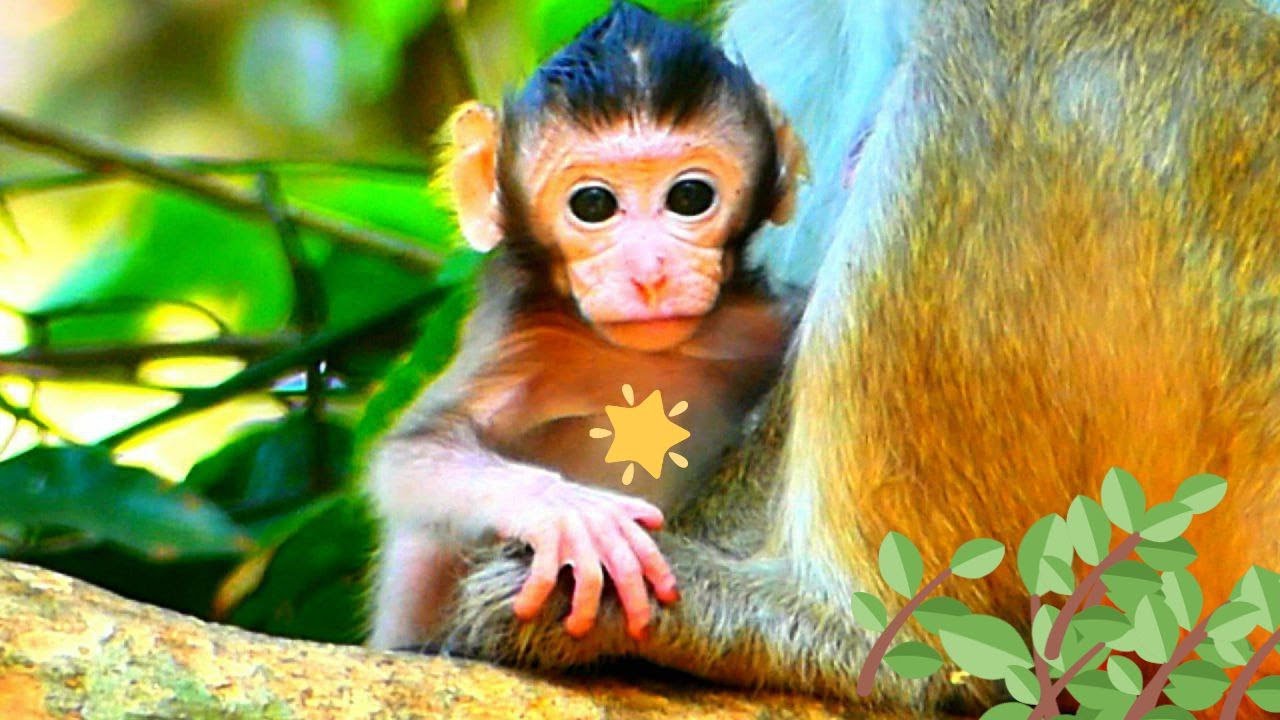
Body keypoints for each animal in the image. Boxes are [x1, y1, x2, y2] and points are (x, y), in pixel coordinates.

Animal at [367, 1, 807, 653]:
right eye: (593, 205)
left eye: (690, 197)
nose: (650, 271)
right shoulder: (527, 345)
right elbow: (416, 455)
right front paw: (565, 511)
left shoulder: (757, 323)